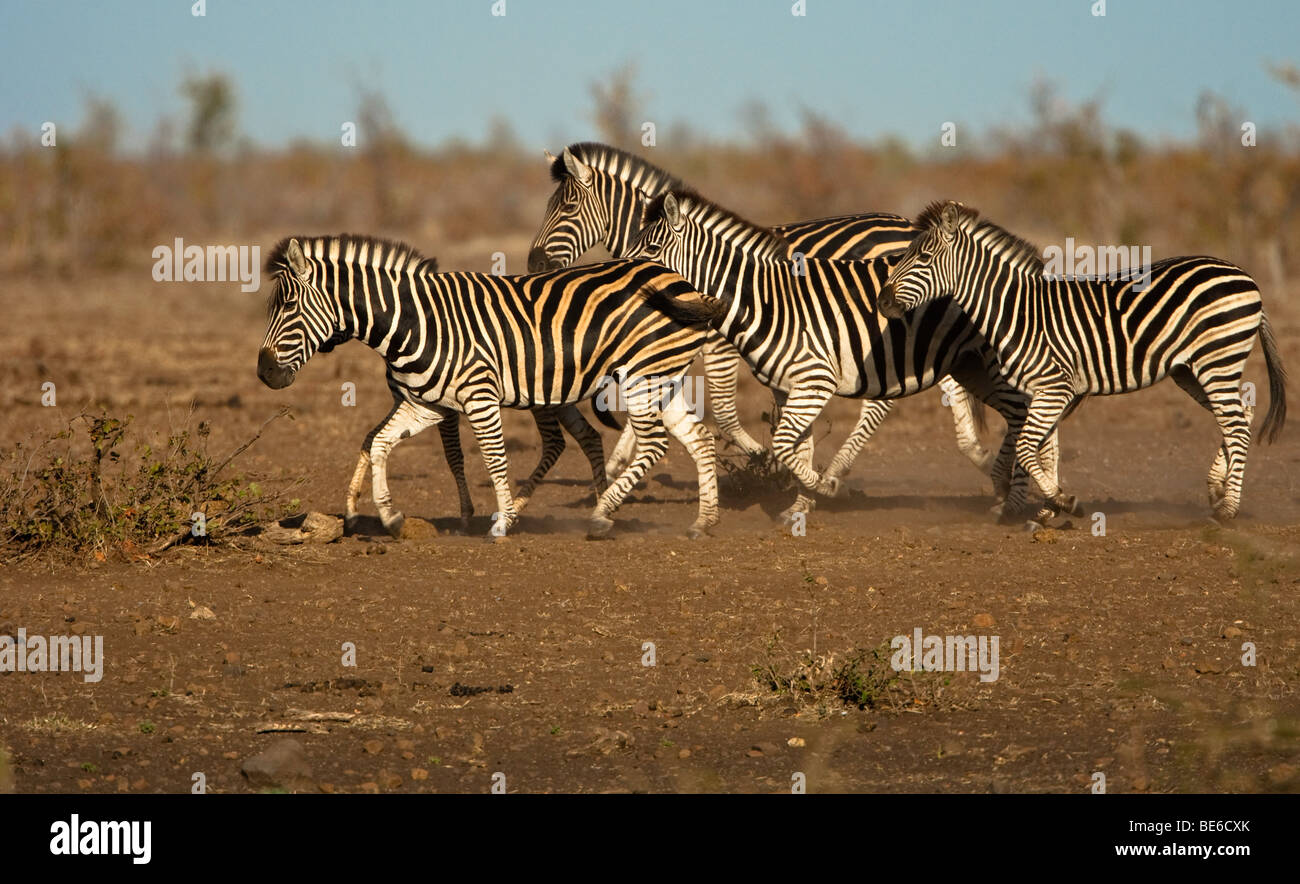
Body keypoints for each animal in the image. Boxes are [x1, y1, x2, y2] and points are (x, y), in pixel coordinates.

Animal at [256, 234, 723, 539]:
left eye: (290, 306)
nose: (264, 373)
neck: (416, 322)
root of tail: (681, 280)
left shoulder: (477, 397)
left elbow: (494, 460)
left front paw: (499, 521)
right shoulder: (425, 404)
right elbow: (380, 442)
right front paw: (387, 517)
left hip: (642, 376)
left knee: (654, 444)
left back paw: (601, 513)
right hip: (664, 378)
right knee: (698, 438)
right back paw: (703, 522)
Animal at [526, 142, 1003, 513]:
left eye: (567, 207)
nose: (533, 264)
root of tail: (906, 225)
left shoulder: (715, 342)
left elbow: (722, 409)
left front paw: (760, 459)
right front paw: (617, 465)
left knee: (881, 402)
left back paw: (839, 471)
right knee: (950, 383)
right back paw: (978, 456)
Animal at [625, 190, 1054, 519]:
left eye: (652, 247)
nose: (623, 277)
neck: (764, 300)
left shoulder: (816, 381)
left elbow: (784, 446)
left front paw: (827, 487)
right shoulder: (788, 388)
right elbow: (798, 447)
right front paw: (799, 507)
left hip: (993, 364)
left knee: (1030, 413)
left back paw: (1029, 499)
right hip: (973, 368)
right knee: (1027, 415)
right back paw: (1033, 497)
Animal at [878, 201, 1287, 521]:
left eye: (923, 258)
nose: (882, 302)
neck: (1017, 310)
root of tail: (1244, 275)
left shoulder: (1053, 387)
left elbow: (1028, 448)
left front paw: (1062, 502)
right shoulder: (1041, 393)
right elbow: (1043, 449)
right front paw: (1046, 507)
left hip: (1217, 361)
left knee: (1236, 424)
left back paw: (1228, 509)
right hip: (1191, 370)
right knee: (1241, 415)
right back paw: (1217, 489)